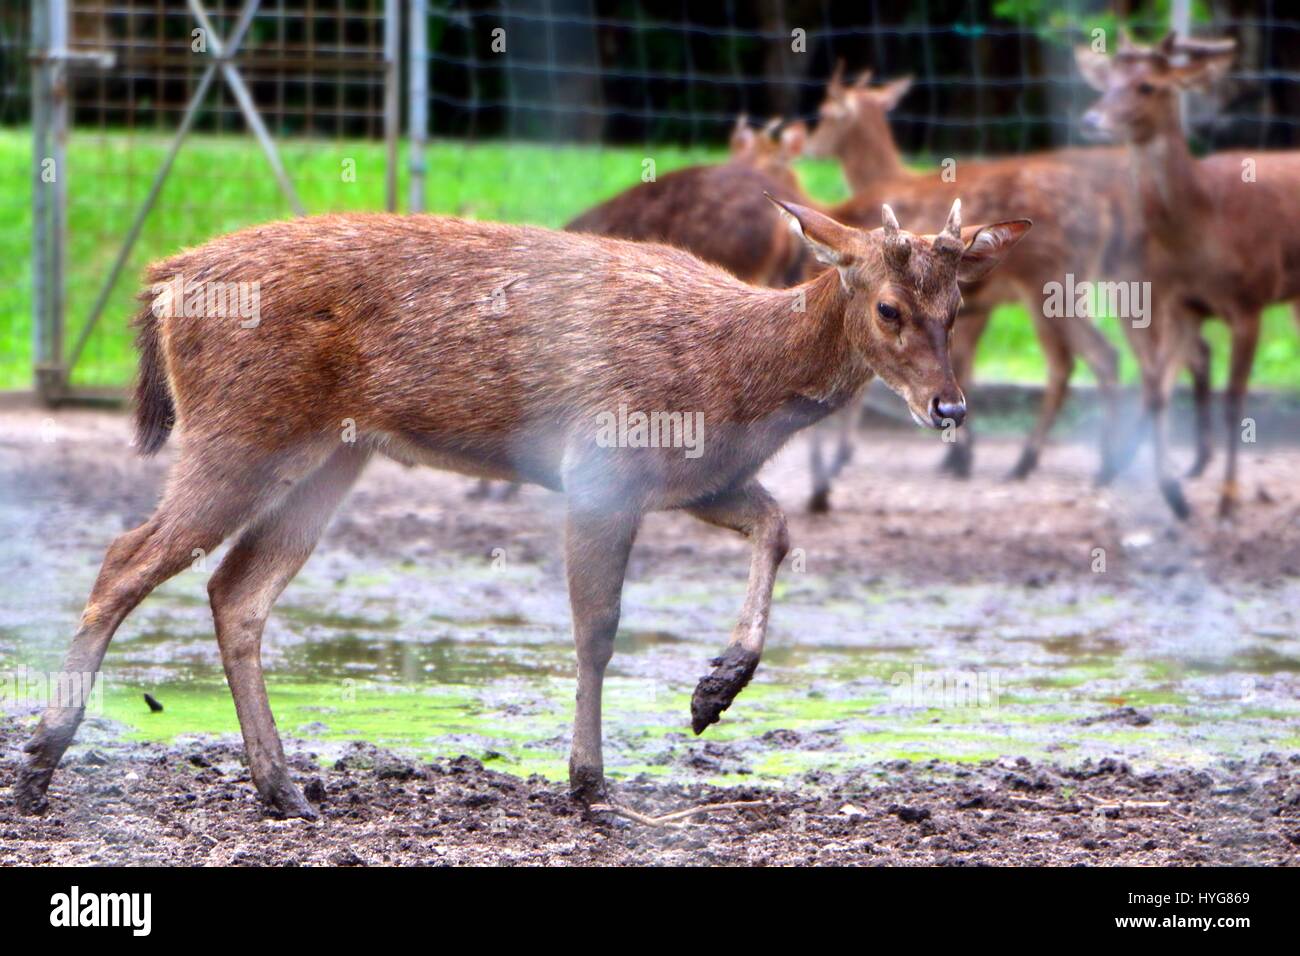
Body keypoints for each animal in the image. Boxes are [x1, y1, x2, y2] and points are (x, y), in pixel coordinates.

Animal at [13, 202, 1029, 818]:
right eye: (890, 308)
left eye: (957, 305)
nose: (950, 407)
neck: (736, 374)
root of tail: (167, 280)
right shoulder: (604, 468)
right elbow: (597, 628)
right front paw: (587, 780)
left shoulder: (696, 482)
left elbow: (779, 528)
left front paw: (714, 690)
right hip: (239, 429)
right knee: (126, 556)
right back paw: (38, 765)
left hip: (333, 453)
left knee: (236, 591)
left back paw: (282, 789)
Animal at [1077, 32, 1300, 519]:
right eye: (1108, 79)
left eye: (1148, 86)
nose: (1091, 119)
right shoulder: (1182, 305)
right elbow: (1159, 388)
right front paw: (1175, 497)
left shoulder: (1250, 302)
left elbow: (1234, 398)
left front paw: (1228, 499)